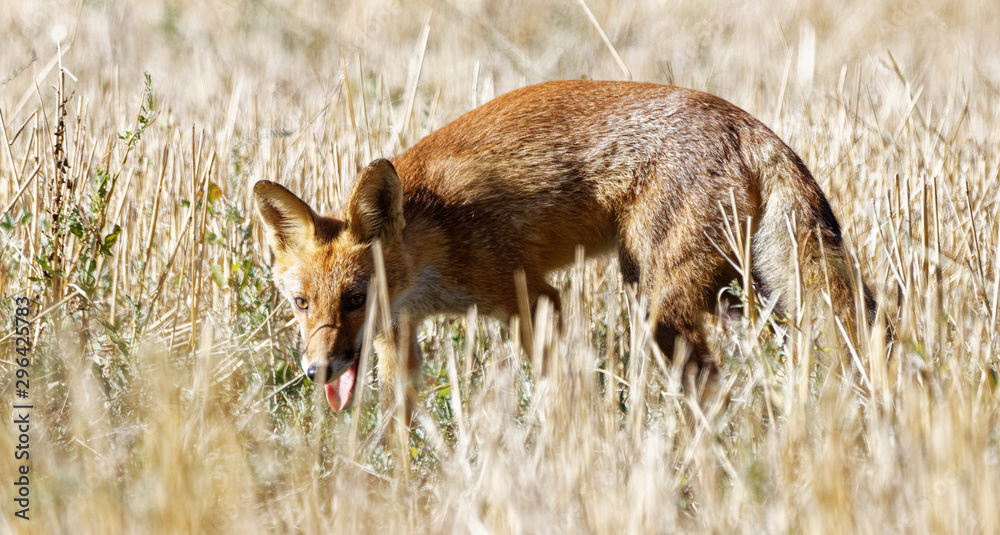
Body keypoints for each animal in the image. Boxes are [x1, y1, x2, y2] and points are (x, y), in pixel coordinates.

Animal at [254, 80, 875, 411]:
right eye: (301, 304)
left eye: (356, 298)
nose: (316, 371)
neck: (435, 237)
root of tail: (744, 122)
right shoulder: (397, 338)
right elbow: (397, 426)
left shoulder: (533, 298)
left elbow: (562, 390)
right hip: (749, 295)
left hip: (659, 306)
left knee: (712, 387)